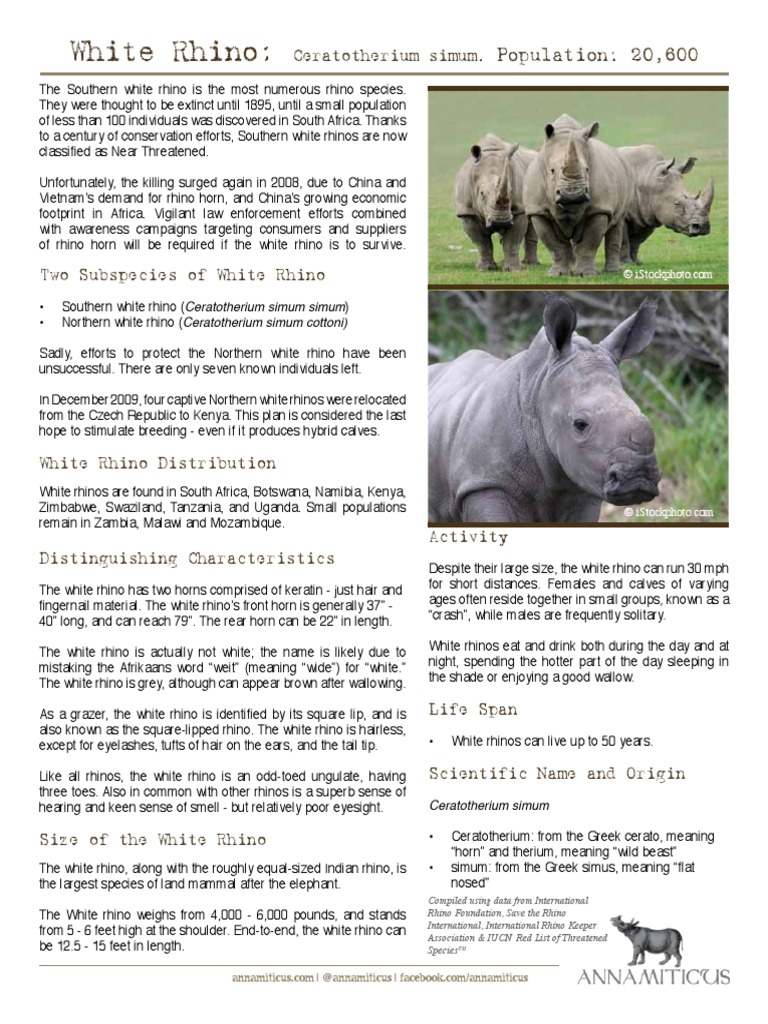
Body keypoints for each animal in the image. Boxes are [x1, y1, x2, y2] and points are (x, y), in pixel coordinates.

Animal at [454, 134, 539, 271]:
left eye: (511, 191)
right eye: (481, 194)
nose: (501, 220)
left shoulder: (519, 209)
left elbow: (512, 241)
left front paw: (514, 270)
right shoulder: (467, 211)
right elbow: (482, 242)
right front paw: (485, 269)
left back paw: (530, 264)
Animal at [523, 115, 630, 276]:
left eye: (587, 169)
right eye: (552, 170)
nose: (572, 195)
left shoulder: (599, 208)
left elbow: (589, 243)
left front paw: (586, 274)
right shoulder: (538, 210)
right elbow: (554, 245)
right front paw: (557, 274)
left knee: (617, 222)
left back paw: (612, 271)